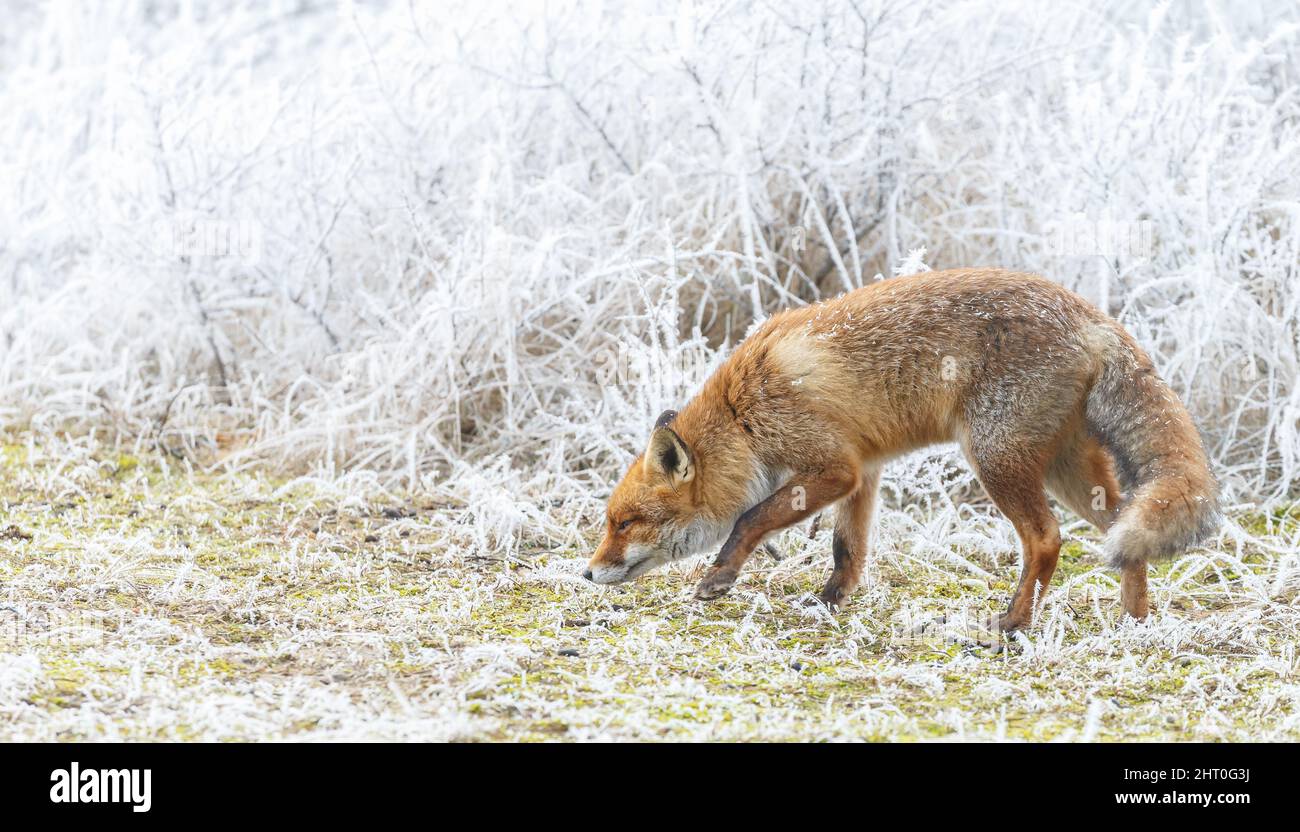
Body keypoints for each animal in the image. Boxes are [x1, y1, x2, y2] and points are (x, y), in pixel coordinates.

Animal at [583, 268, 1220, 630]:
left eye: (626, 523)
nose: (587, 574)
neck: (744, 415)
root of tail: (1092, 316)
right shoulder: (863, 472)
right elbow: (847, 548)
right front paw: (828, 604)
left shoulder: (832, 468)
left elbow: (750, 518)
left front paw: (719, 578)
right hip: (1068, 470)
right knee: (1123, 532)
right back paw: (1133, 622)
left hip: (994, 458)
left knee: (1046, 539)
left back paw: (1012, 624)